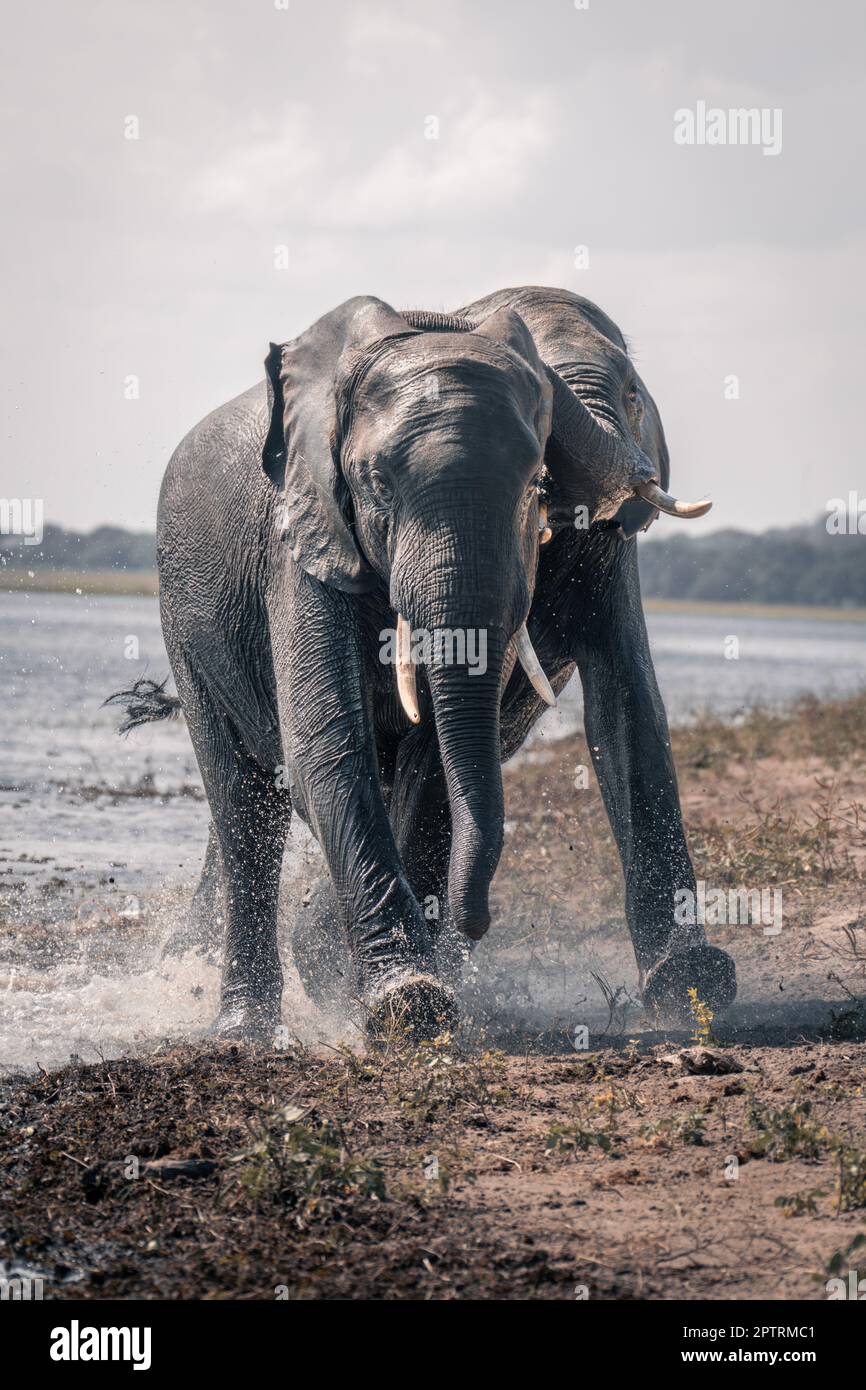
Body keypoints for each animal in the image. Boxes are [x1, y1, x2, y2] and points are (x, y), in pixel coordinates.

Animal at [111, 287, 736, 1041]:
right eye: (377, 484)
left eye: (634, 395)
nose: (480, 918)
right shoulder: (304, 533)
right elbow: (327, 739)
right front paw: (406, 1002)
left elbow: (622, 715)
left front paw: (692, 988)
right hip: (185, 617)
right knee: (242, 806)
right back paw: (245, 1023)